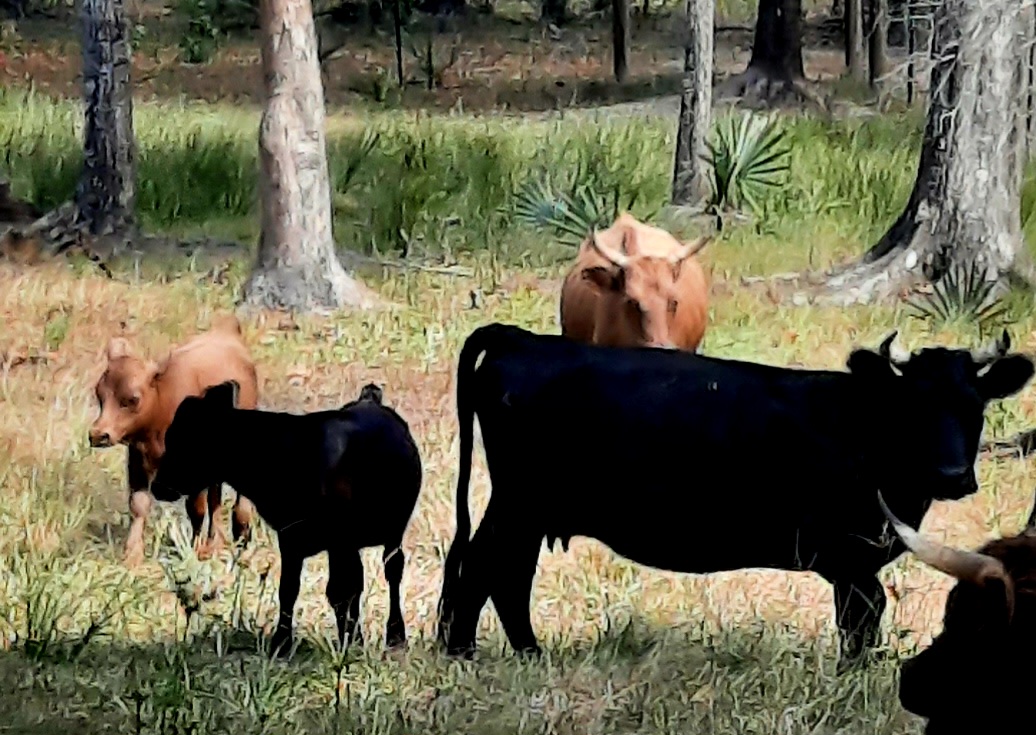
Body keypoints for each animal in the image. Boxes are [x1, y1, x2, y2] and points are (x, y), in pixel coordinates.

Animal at [88, 315, 259, 567]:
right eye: (99, 393)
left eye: (133, 398)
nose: (99, 434)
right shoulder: (138, 461)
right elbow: (138, 505)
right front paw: (132, 555)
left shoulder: (196, 470)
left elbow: (196, 509)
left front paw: (194, 550)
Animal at [149, 381, 423, 656]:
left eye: (183, 440)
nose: (157, 486)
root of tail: (370, 399)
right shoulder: (291, 537)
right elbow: (290, 589)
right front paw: (282, 642)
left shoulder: (338, 540)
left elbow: (340, 591)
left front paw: (348, 642)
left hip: (393, 533)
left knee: (392, 573)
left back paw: (395, 634)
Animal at [435, 322, 1034, 670]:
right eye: (912, 406)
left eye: (974, 404)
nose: (952, 474)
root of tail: (523, 338)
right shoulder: (847, 555)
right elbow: (862, 617)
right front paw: (854, 675)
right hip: (519, 502)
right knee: (484, 567)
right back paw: (466, 654)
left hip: (528, 510)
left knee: (505, 573)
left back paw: (525, 654)